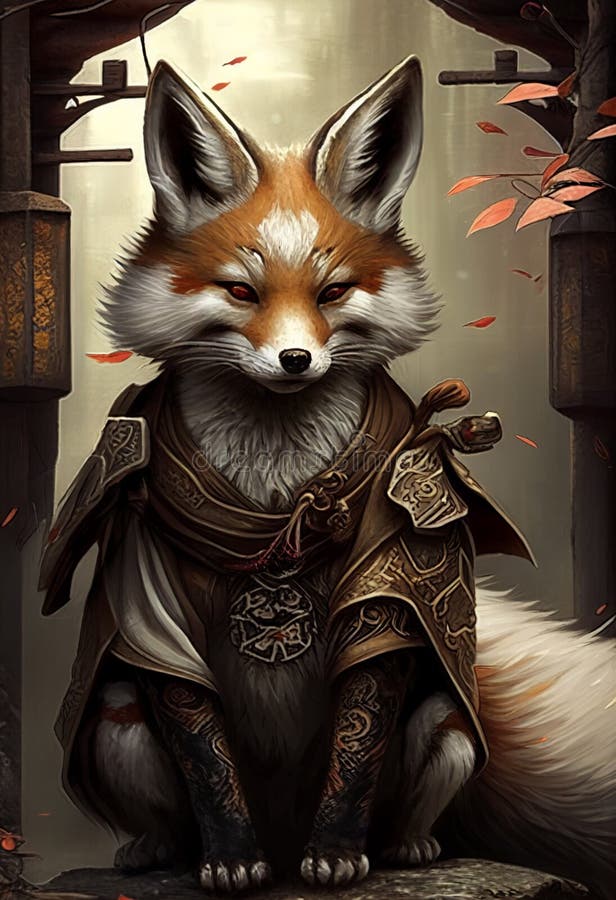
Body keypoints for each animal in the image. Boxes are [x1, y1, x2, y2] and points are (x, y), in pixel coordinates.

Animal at [41, 56, 615, 898]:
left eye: (332, 293)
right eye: (242, 292)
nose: (294, 360)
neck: (277, 500)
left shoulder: (393, 577)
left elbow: (358, 740)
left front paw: (339, 855)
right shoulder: (149, 596)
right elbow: (205, 752)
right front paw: (229, 858)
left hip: (447, 720)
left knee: (416, 787)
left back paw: (406, 848)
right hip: (114, 712)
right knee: (157, 789)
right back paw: (160, 851)